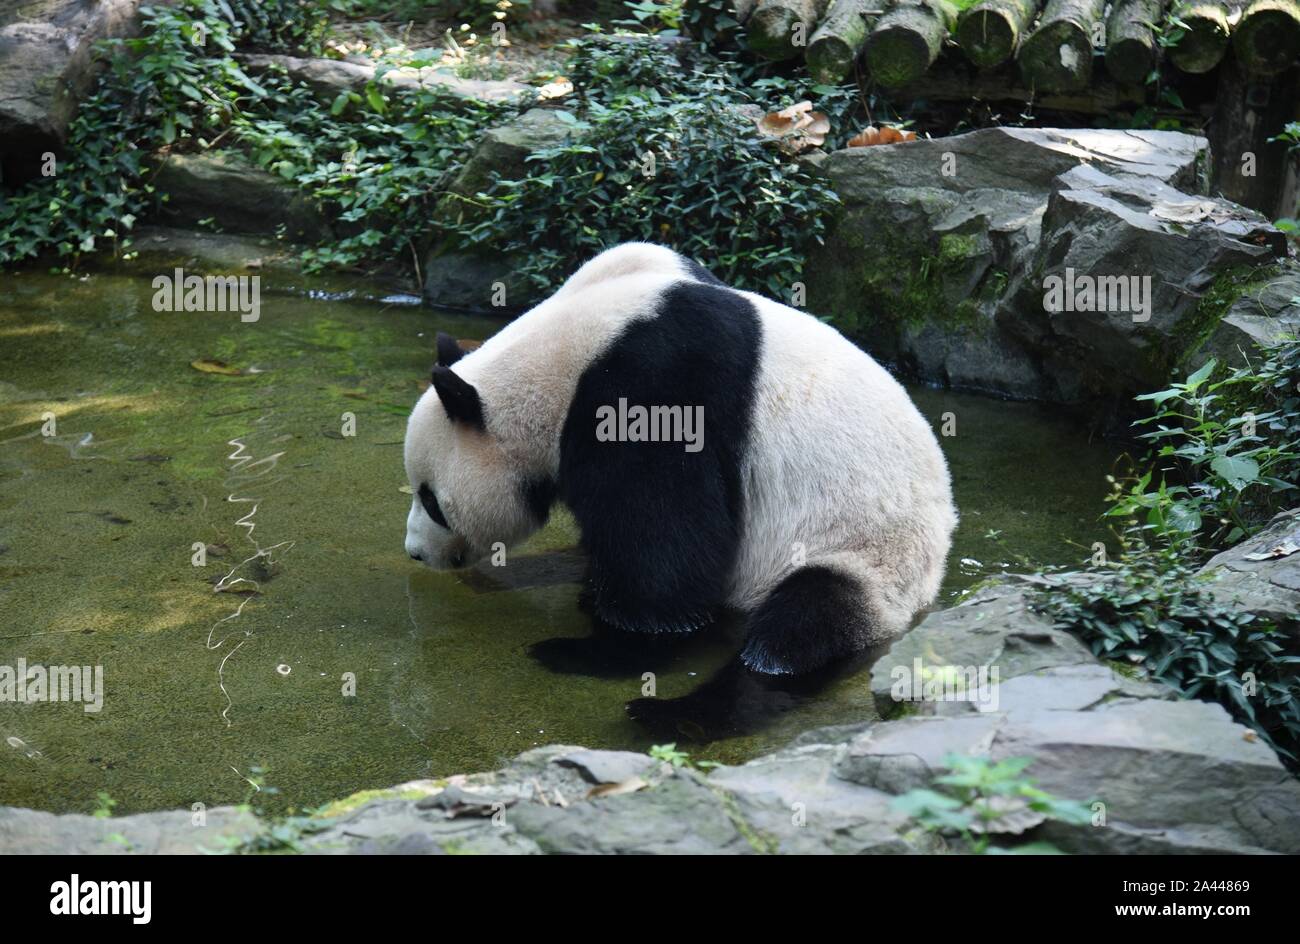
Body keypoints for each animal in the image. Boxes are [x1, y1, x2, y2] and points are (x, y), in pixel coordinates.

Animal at [404, 243, 957, 675]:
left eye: (431, 501)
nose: (415, 552)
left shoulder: (654, 389)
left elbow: (664, 545)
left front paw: (601, 647)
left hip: (864, 551)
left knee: (803, 620)